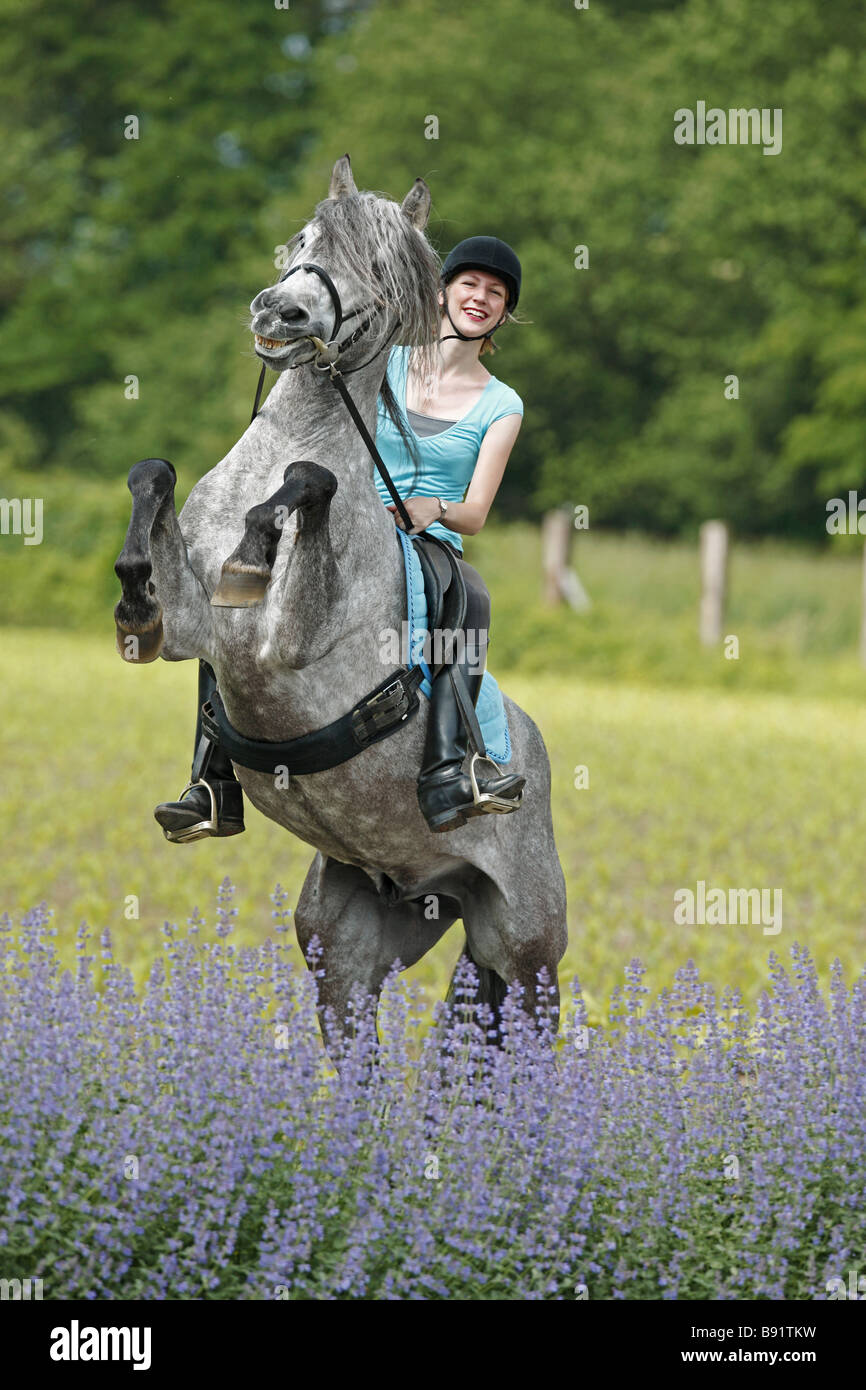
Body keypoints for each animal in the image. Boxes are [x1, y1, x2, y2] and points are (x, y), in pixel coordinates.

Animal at [114, 154, 568, 1049]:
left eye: (382, 267)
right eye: (300, 240)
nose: (279, 312)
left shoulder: (285, 640)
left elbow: (305, 483)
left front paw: (255, 550)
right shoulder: (193, 628)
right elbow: (154, 478)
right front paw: (132, 599)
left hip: (527, 950)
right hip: (348, 943)